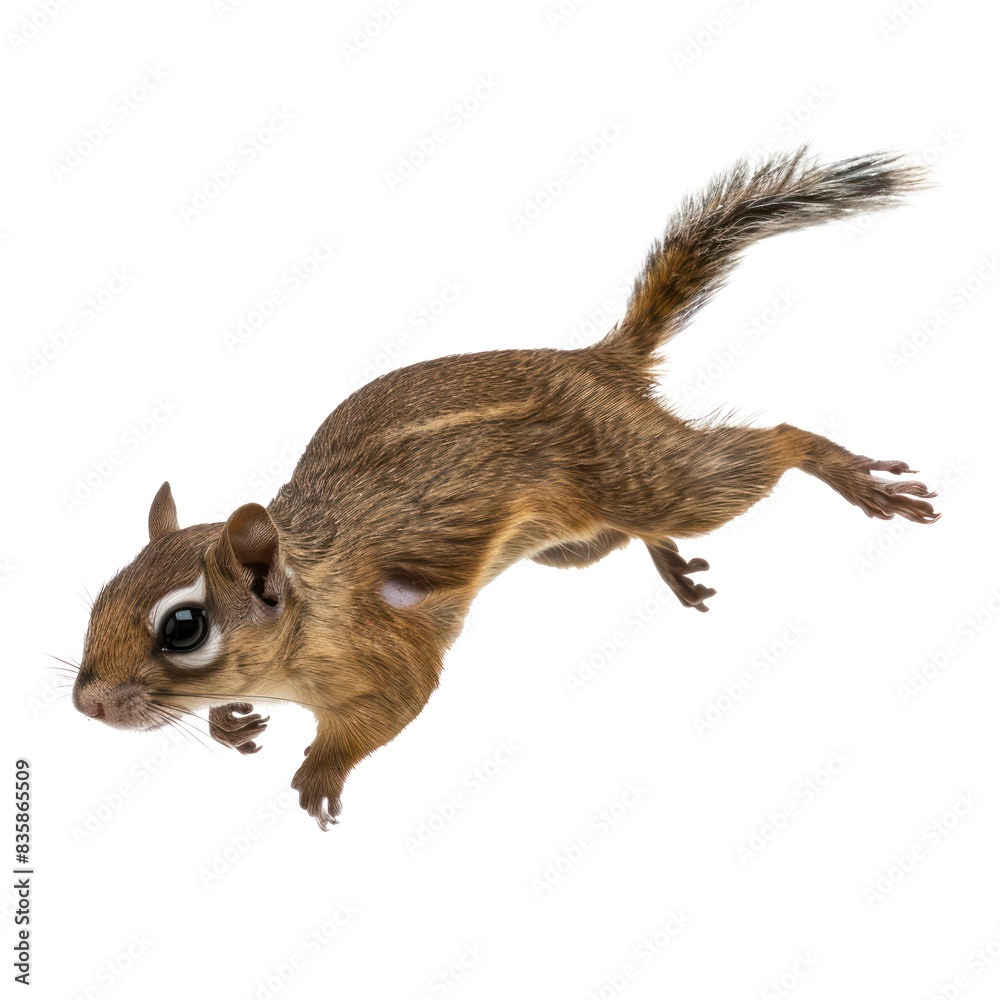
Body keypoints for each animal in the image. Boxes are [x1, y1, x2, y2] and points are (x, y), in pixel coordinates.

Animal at [72, 148, 939, 828]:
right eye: (99, 599)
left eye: (183, 628)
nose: (86, 706)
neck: (310, 597)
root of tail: (598, 365)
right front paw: (231, 721)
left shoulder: (386, 651)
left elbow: (391, 708)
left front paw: (320, 772)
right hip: (573, 542)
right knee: (627, 532)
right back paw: (671, 563)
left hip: (647, 475)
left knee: (763, 450)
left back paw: (846, 474)